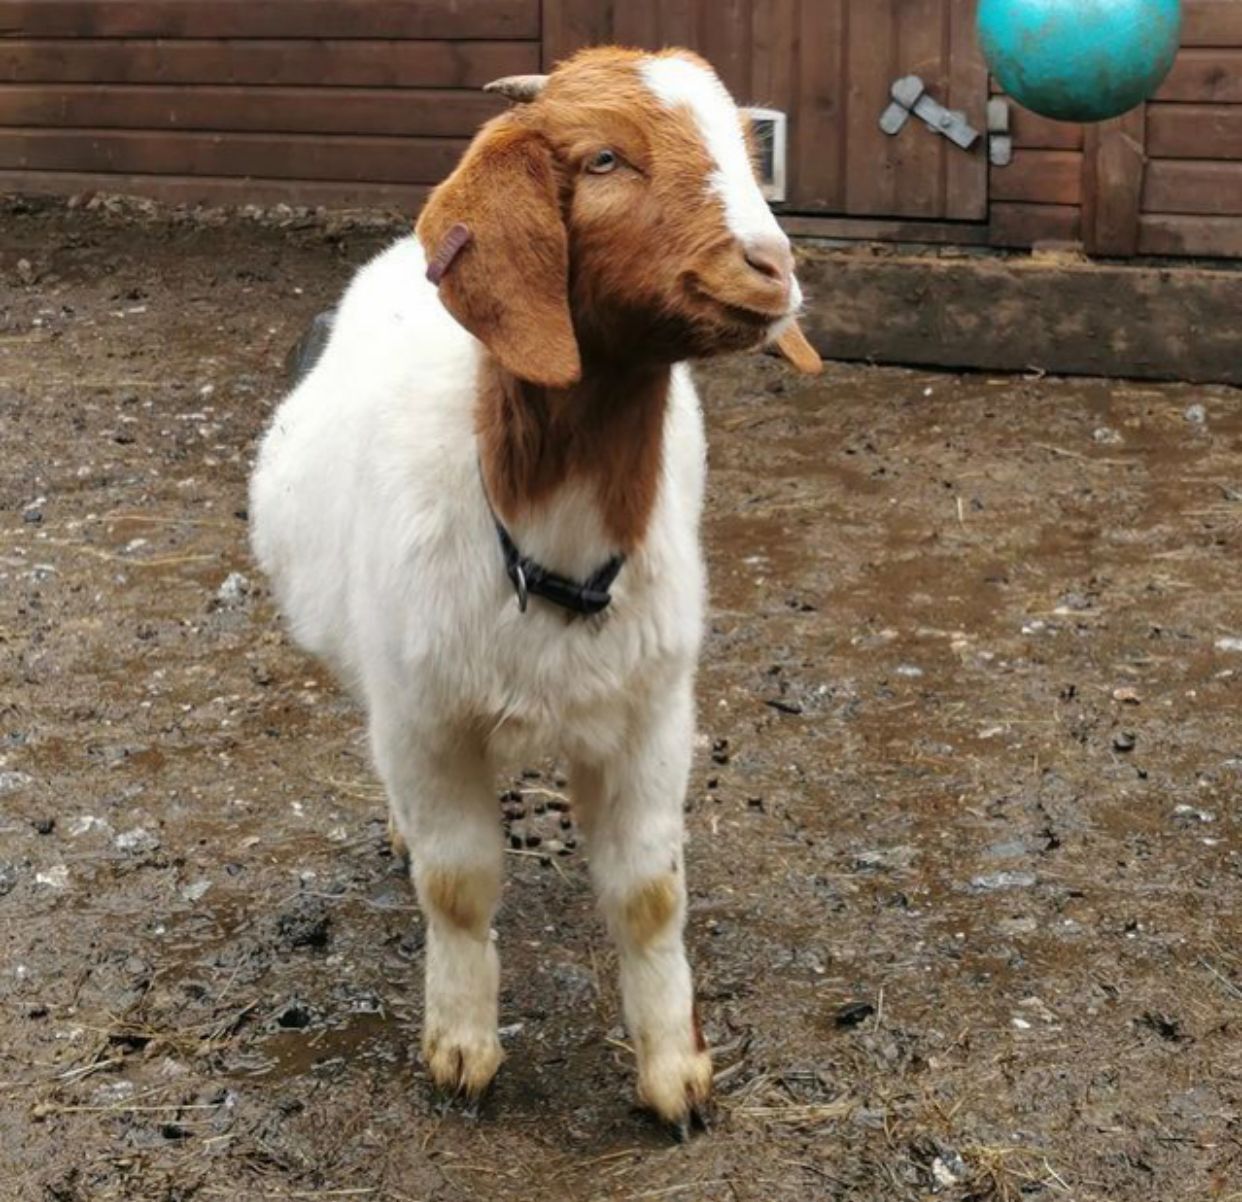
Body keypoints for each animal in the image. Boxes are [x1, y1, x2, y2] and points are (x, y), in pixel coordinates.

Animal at [249, 46, 821, 1129]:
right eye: (604, 159)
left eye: (743, 143)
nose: (772, 268)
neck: (548, 545)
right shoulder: (426, 716)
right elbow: (457, 884)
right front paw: (461, 1047)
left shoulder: (651, 715)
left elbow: (649, 893)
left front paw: (675, 1072)